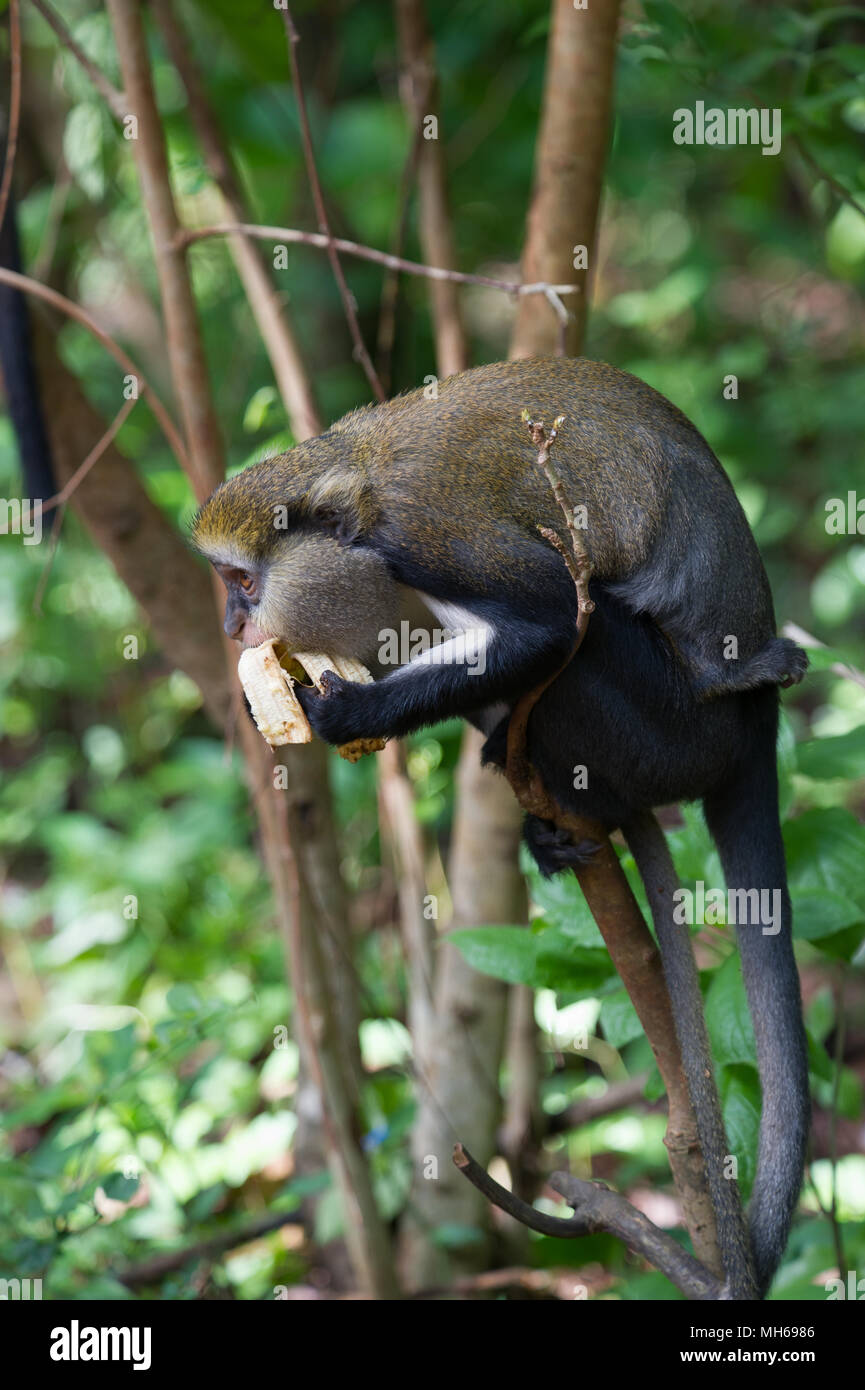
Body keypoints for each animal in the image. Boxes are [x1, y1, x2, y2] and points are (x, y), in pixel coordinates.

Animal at [193, 355, 809, 1297]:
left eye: (242, 583)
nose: (232, 626)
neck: (355, 485)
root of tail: (752, 722)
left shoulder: (430, 536)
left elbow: (549, 622)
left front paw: (346, 713)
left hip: (670, 728)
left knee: (579, 647)